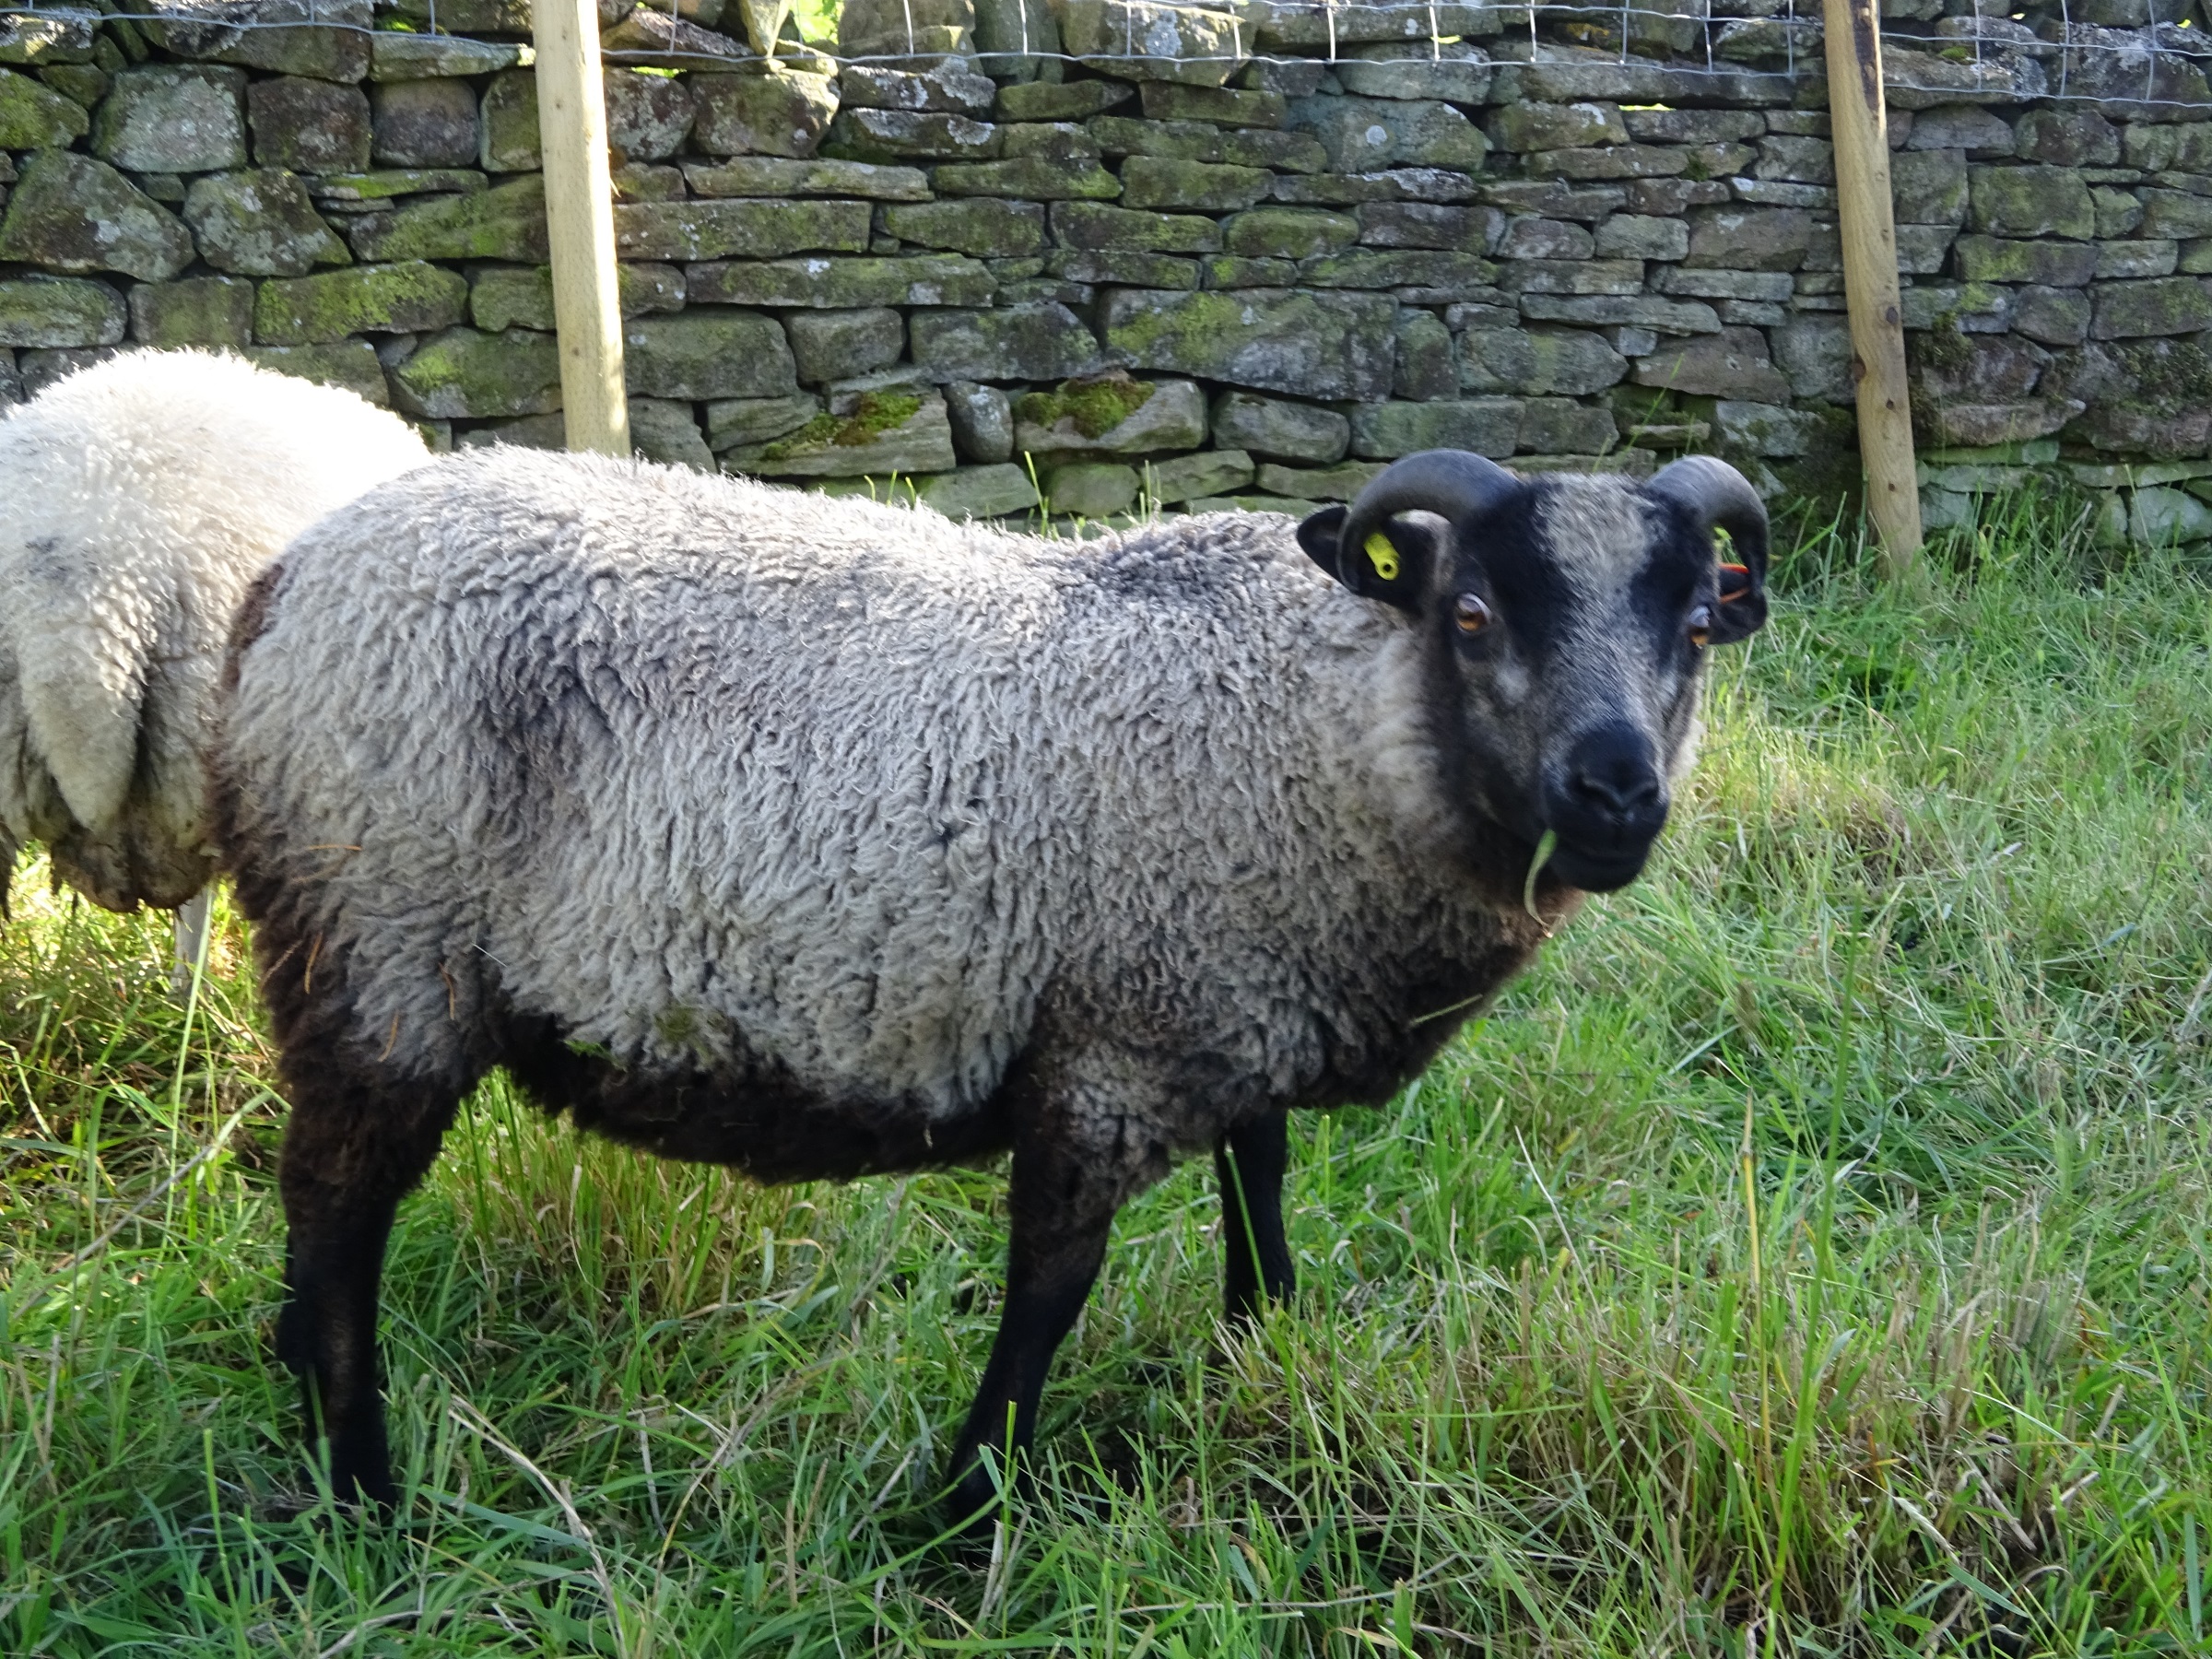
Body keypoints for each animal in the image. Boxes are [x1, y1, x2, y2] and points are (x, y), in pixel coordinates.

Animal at [213, 445, 1771, 1518]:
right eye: (1471, 615)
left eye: (1698, 628)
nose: (1617, 796)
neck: (1319, 731)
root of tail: (284, 584)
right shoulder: (1108, 1057)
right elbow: (1050, 1290)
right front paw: (968, 1500)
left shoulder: (1230, 1003)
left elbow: (1259, 1194)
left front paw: (1261, 1363)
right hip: (383, 949)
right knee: (339, 1214)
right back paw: (365, 1486)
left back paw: (298, 1395)